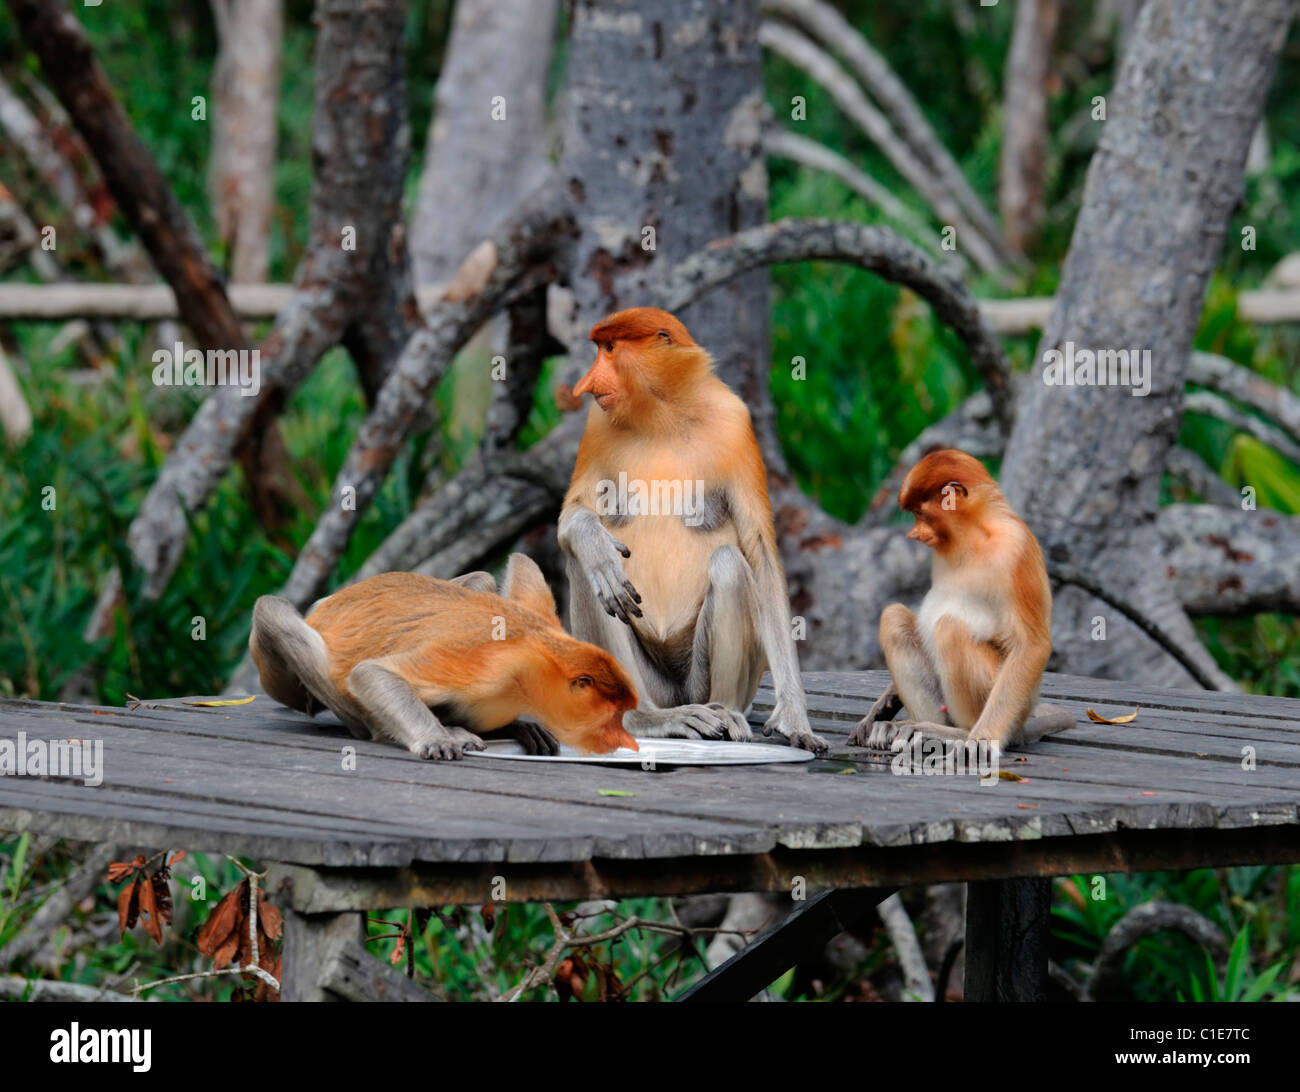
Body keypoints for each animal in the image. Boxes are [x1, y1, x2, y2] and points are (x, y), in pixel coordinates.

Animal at [248, 554, 639, 760]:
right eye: (613, 715)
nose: (620, 740)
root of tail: (324, 606)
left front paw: (517, 725)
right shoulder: (486, 662)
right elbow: (370, 673)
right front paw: (437, 738)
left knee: (481, 578)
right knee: (270, 608)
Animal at [557, 307, 827, 754]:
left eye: (609, 348)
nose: (586, 384)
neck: (663, 411)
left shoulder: (736, 424)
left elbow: (759, 552)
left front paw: (794, 719)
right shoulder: (596, 425)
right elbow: (572, 517)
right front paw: (593, 542)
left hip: (699, 682)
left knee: (730, 564)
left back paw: (727, 714)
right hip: (652, 684)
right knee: (584, 567)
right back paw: (645, 719)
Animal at [848, 449, 1073, 751]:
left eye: (919, 513)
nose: (912, 534)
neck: (972, 535)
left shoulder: (1014, 549)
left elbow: (1031, 644)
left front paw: (980, 741)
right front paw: (881, 708)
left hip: (1006, 700)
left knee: (950, 628)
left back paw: (957, 733)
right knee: (894, 619)